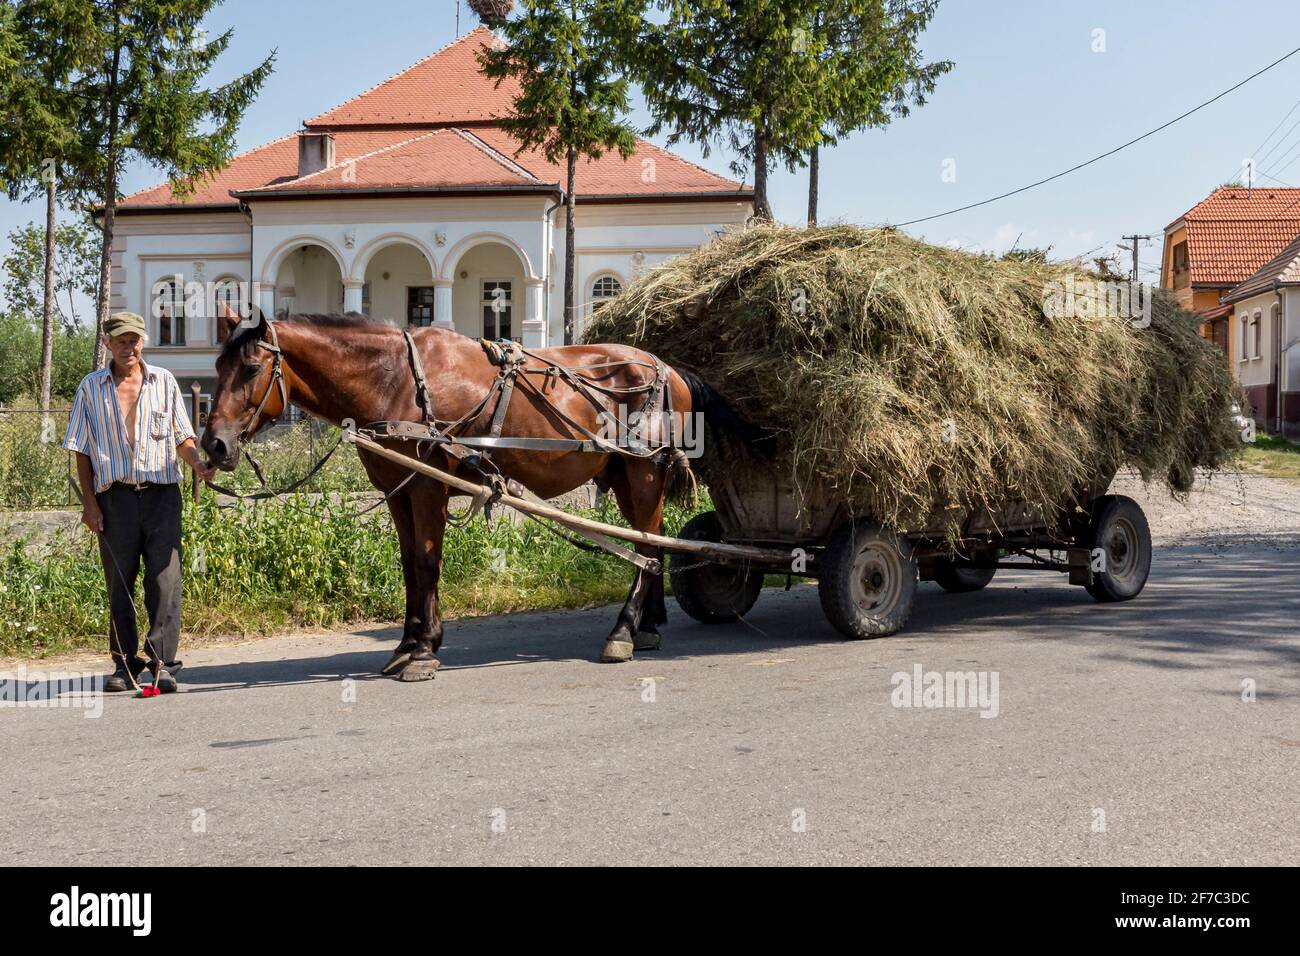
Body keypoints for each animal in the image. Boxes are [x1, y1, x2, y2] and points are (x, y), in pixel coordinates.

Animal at [201, 307, 750, 681]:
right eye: (218, 366)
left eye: (251, 369)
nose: (213, 444)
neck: (396, 379)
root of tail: (667, 368)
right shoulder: (398, 489)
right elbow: (409, 564)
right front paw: (407, 643)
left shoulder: (427, 485)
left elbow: (427, 562)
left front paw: (424, 650)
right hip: (620, 473)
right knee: (649, 542)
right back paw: (648, 625)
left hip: (643, 470)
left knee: (645, 544)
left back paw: (623, 631)